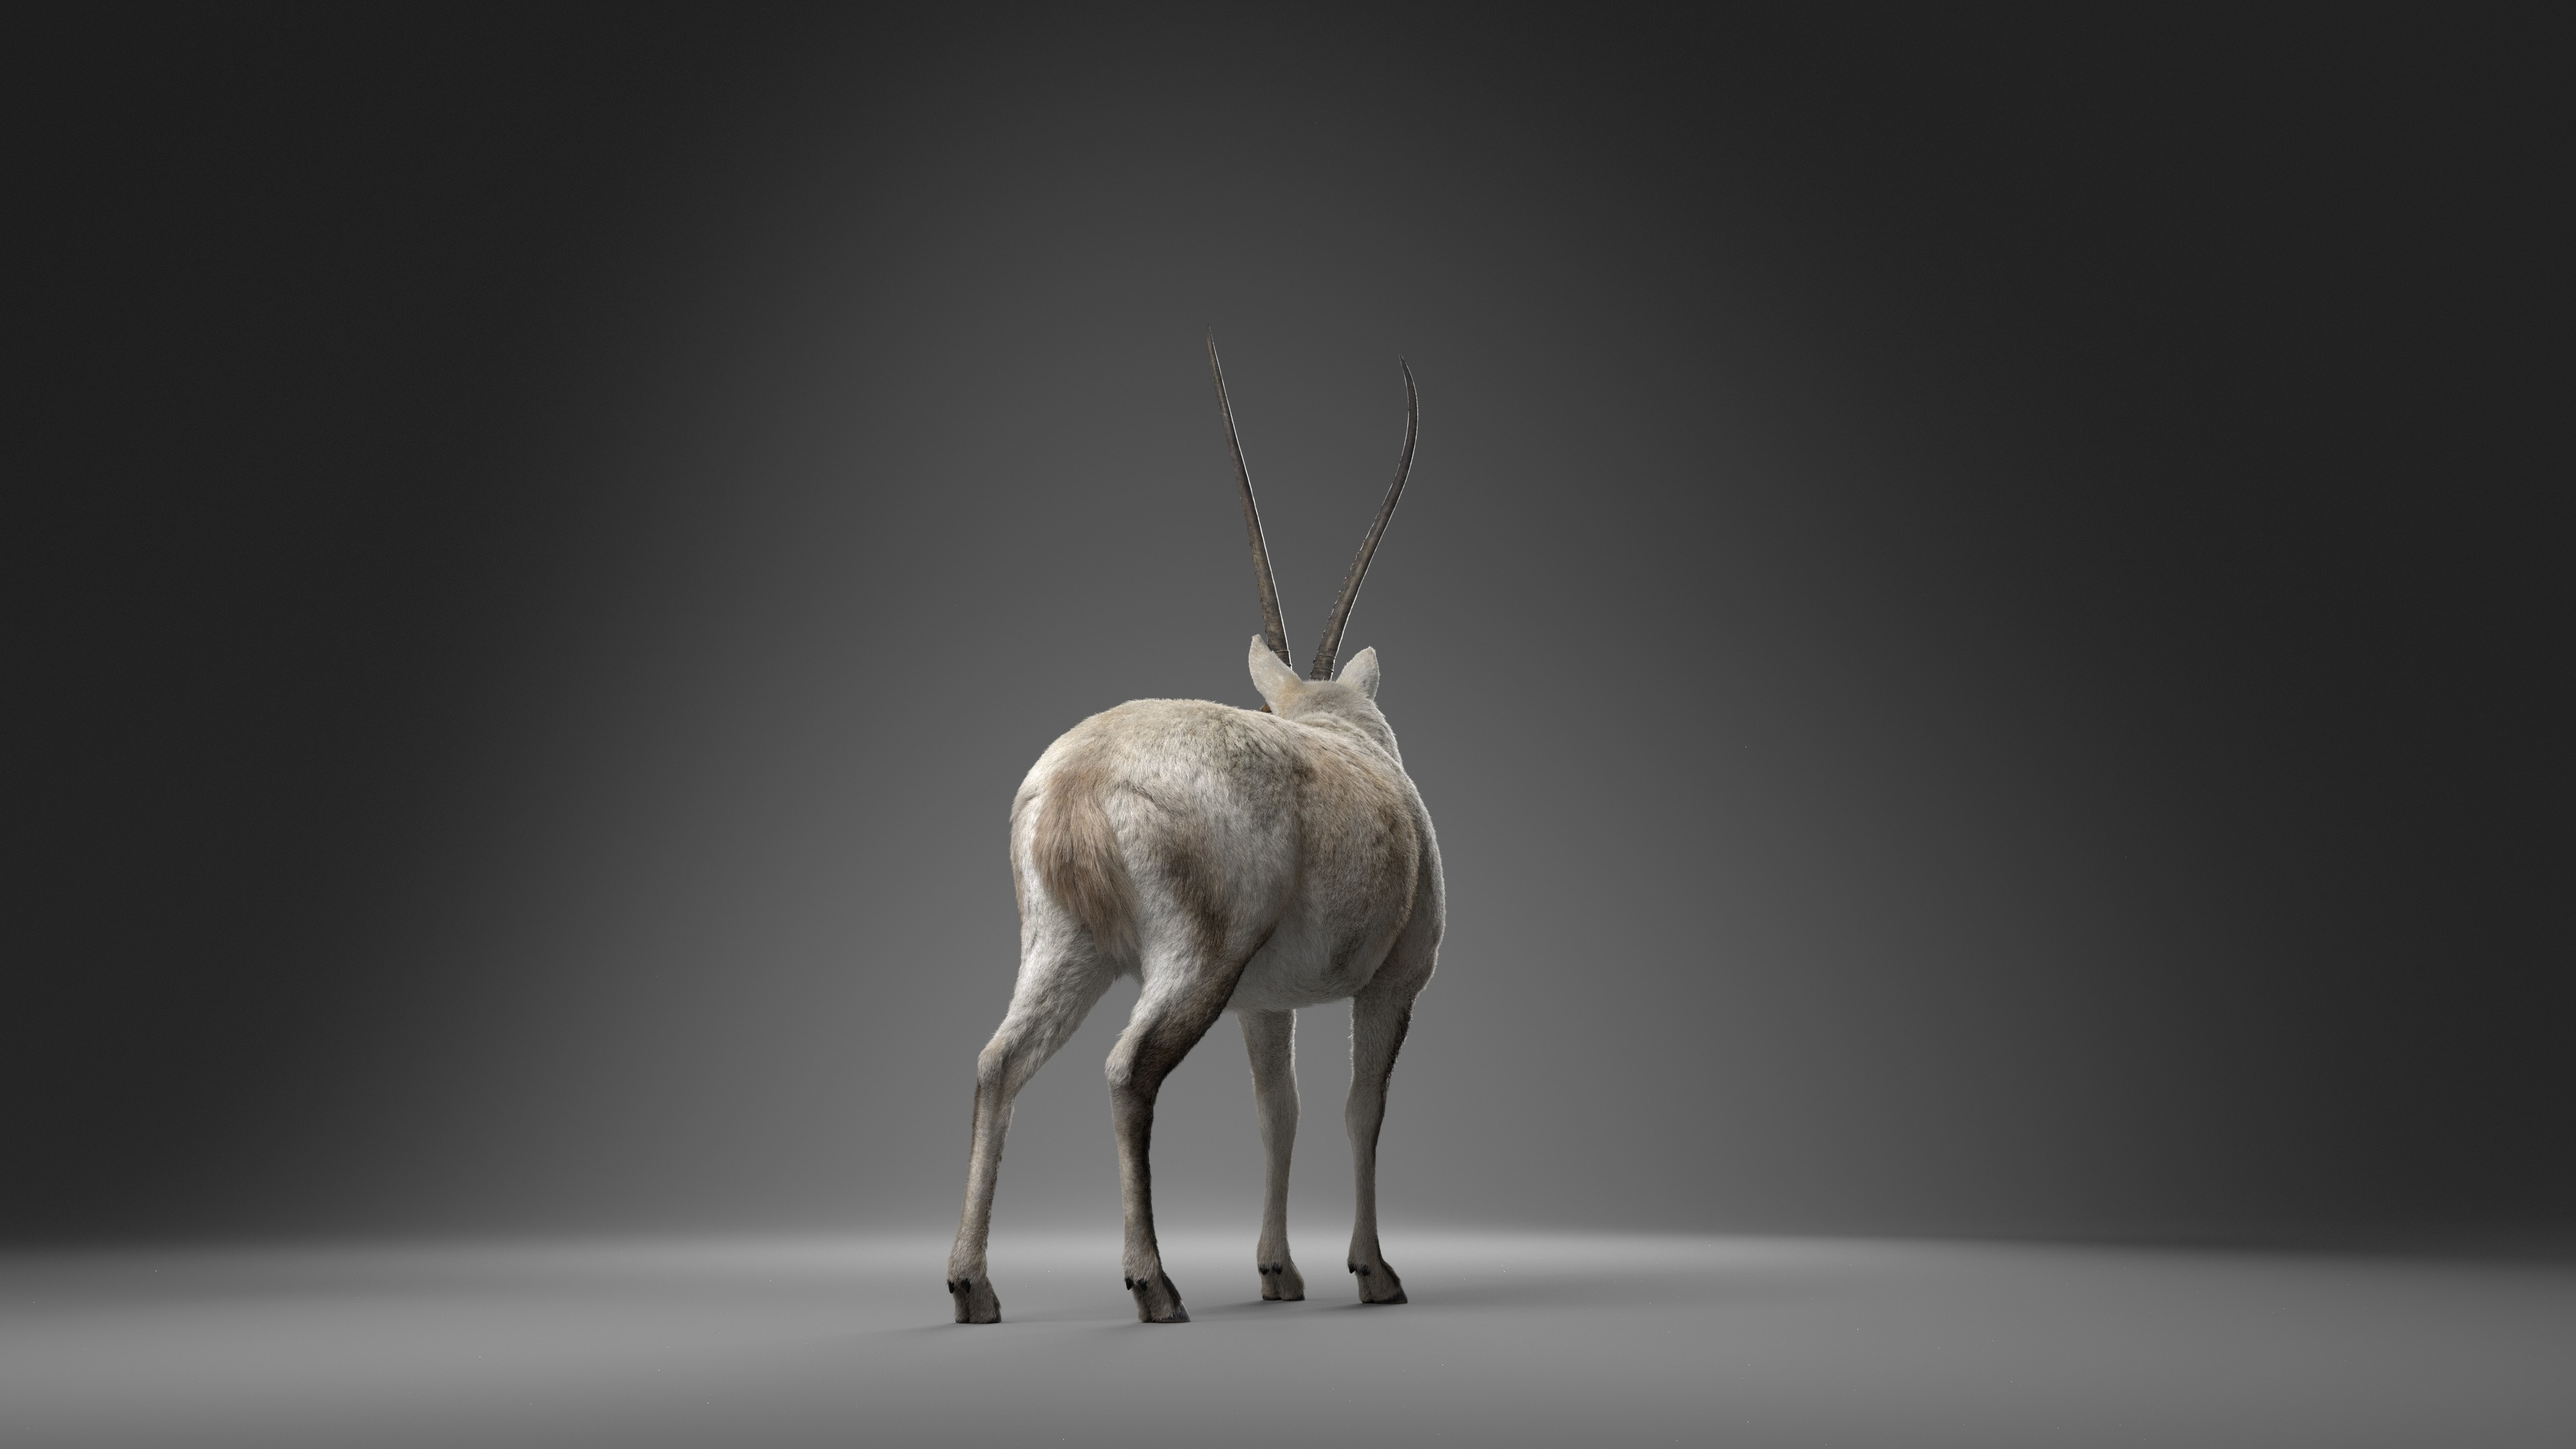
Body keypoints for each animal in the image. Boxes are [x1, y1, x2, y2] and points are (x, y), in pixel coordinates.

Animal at [945, 336, 1444, 1325]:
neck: (1335, 724)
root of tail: (1083, 777)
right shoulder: (1394, 982)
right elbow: (1361, 1107)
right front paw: (1374, 1273)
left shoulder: (1263, 1002)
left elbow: (1278, 1110)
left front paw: (1279, 1273)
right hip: (1196, 959)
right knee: (1128, 1069)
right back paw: (1154, 1285)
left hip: (1068, 947)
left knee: (998, 1062)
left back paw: (973, 1287)